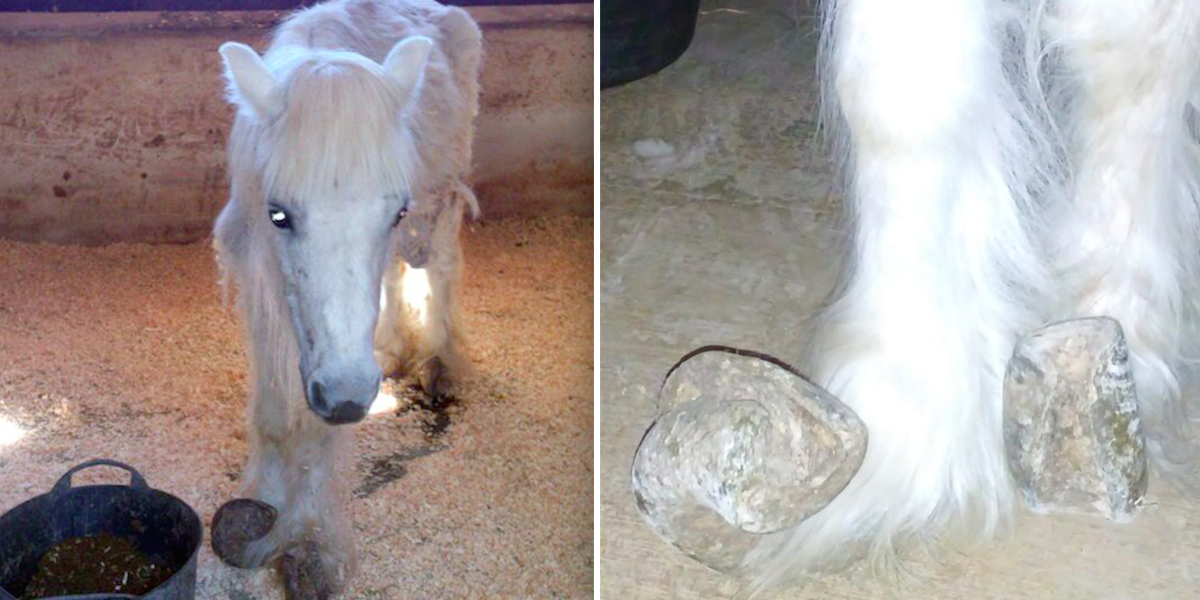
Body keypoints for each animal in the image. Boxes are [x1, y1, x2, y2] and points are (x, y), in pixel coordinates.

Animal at [211, 0, 481, 594]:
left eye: (395, 209)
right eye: (279, 214)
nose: (350, 396)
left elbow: (313, 432)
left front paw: (308, 544)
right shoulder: (261, 288)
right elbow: (272, 409)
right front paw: (262, 503)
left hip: (442, 201)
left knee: (438, 269)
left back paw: (438, 363)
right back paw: (394, 351)